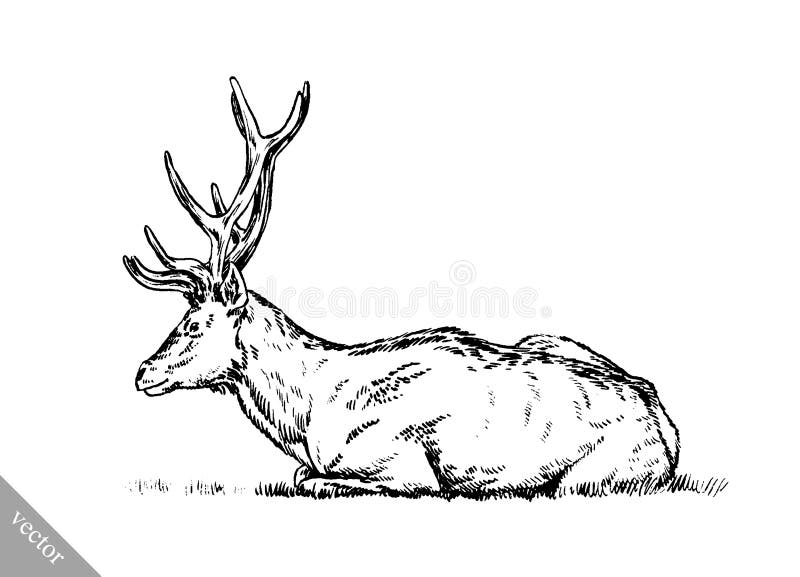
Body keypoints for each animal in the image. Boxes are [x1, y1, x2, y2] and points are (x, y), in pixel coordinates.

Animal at [123, 78, 680, 498]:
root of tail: (667, 427)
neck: (308, 415)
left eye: (195, 323)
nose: (143, 372)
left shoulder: (404, 465)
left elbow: (312, 480)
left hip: (599, 476)